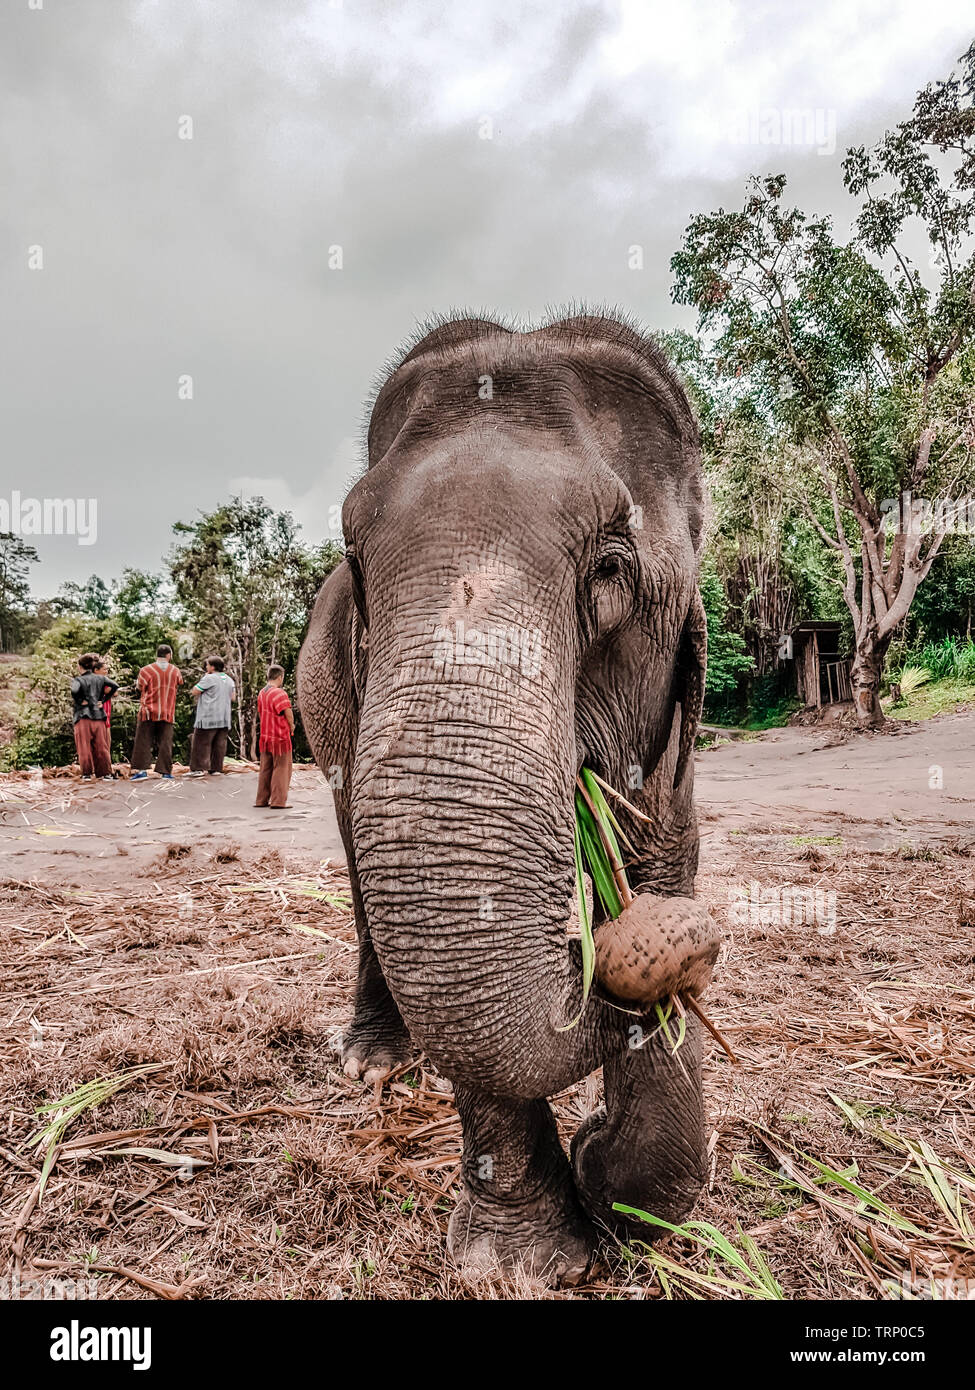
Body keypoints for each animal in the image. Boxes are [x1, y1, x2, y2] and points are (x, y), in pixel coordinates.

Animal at [297, 310, 711, 1284]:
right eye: (355, 563)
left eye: (610, 565)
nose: (590, 975)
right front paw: (528, 1266)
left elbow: (662, 854)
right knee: (363, 875)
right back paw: (374, 1064)